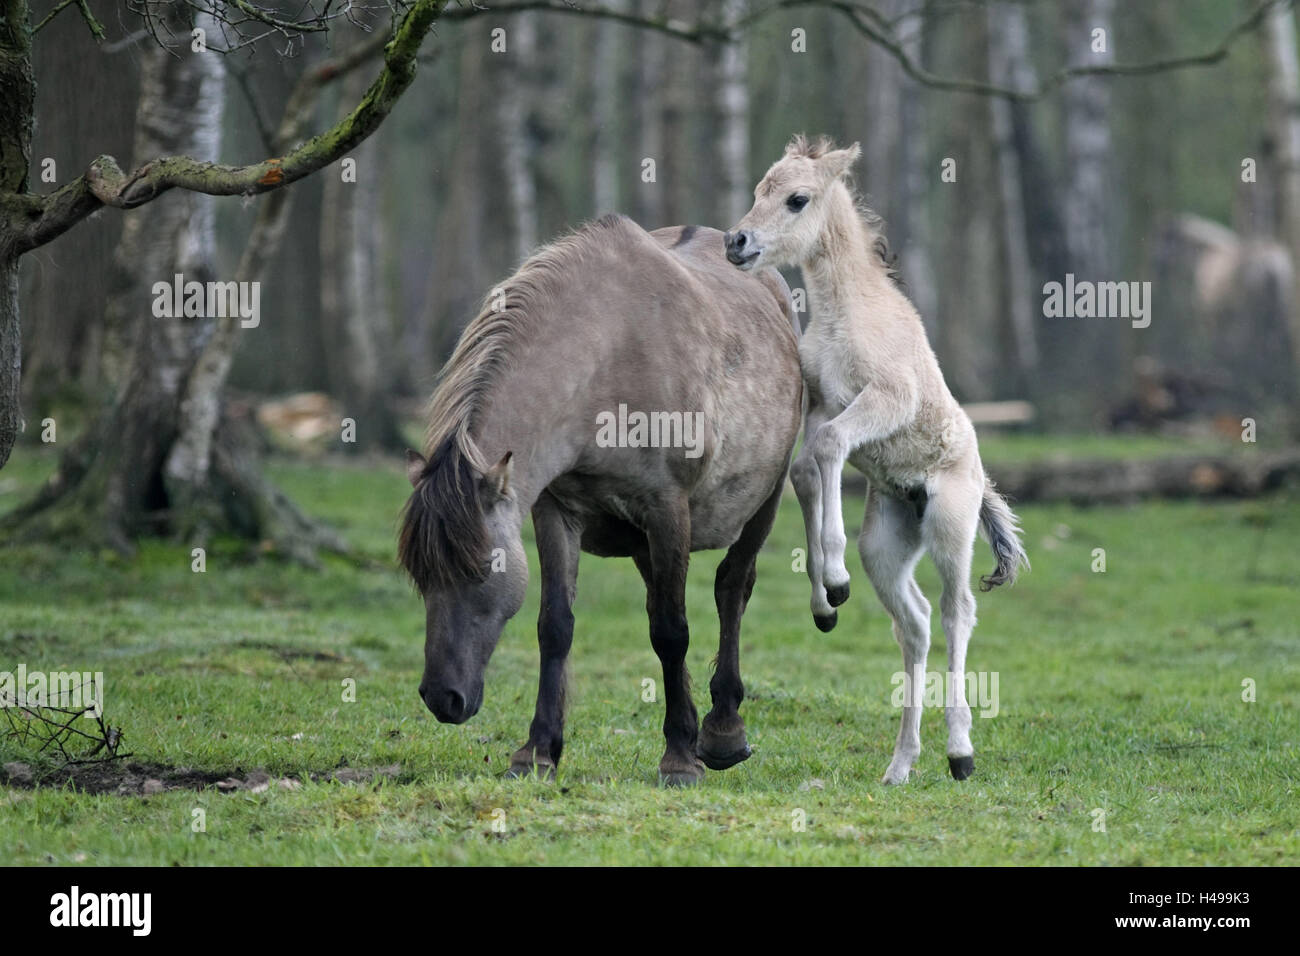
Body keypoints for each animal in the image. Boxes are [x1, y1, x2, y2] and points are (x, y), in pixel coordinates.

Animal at [399, 215, 802, 786]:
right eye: (419, 576)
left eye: (479, 572)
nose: (441, 698)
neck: (608, 358)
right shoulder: (554, 511)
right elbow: (555, 626)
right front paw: (538, 750)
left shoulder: (667, 508)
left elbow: (672, 632)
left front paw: (679, 759)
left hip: (762, 502)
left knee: (731, 589)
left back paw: (722, 731)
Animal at [723, 135, 1029, 785]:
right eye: (759, 189)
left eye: (796, 199)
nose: (736, 242)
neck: (846, 312)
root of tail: (979, 479)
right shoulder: (819, 403)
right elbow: (805, 470)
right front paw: (825, 601)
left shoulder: (887, 399)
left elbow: (831, 449)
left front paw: (834, 579)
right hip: (886, 546)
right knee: (913, 626)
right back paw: (901, 763)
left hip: (949, 527)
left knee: (956, 613)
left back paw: (959, 752)